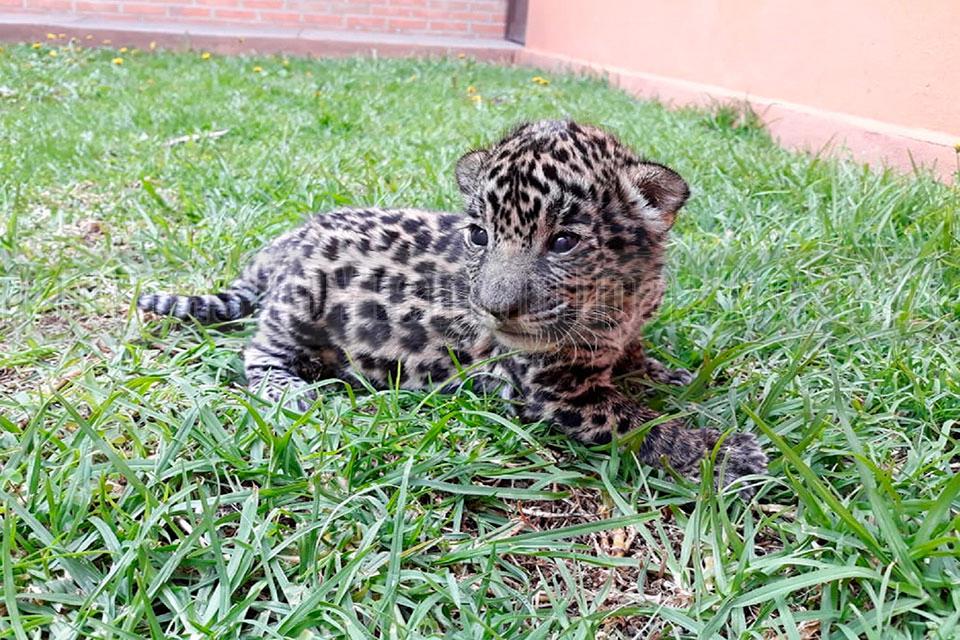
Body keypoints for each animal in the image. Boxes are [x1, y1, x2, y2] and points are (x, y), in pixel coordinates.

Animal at [138, 120, 767, 494]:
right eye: (480, 235)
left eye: (564, 241)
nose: (493, 310)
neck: (620, 304)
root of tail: (287, 239)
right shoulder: (555, 392)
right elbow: (643, 422)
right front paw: (724, 451)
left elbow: (638, 363)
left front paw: (671, 372)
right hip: (300, 294)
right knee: (259, 350)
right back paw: (293, 388)